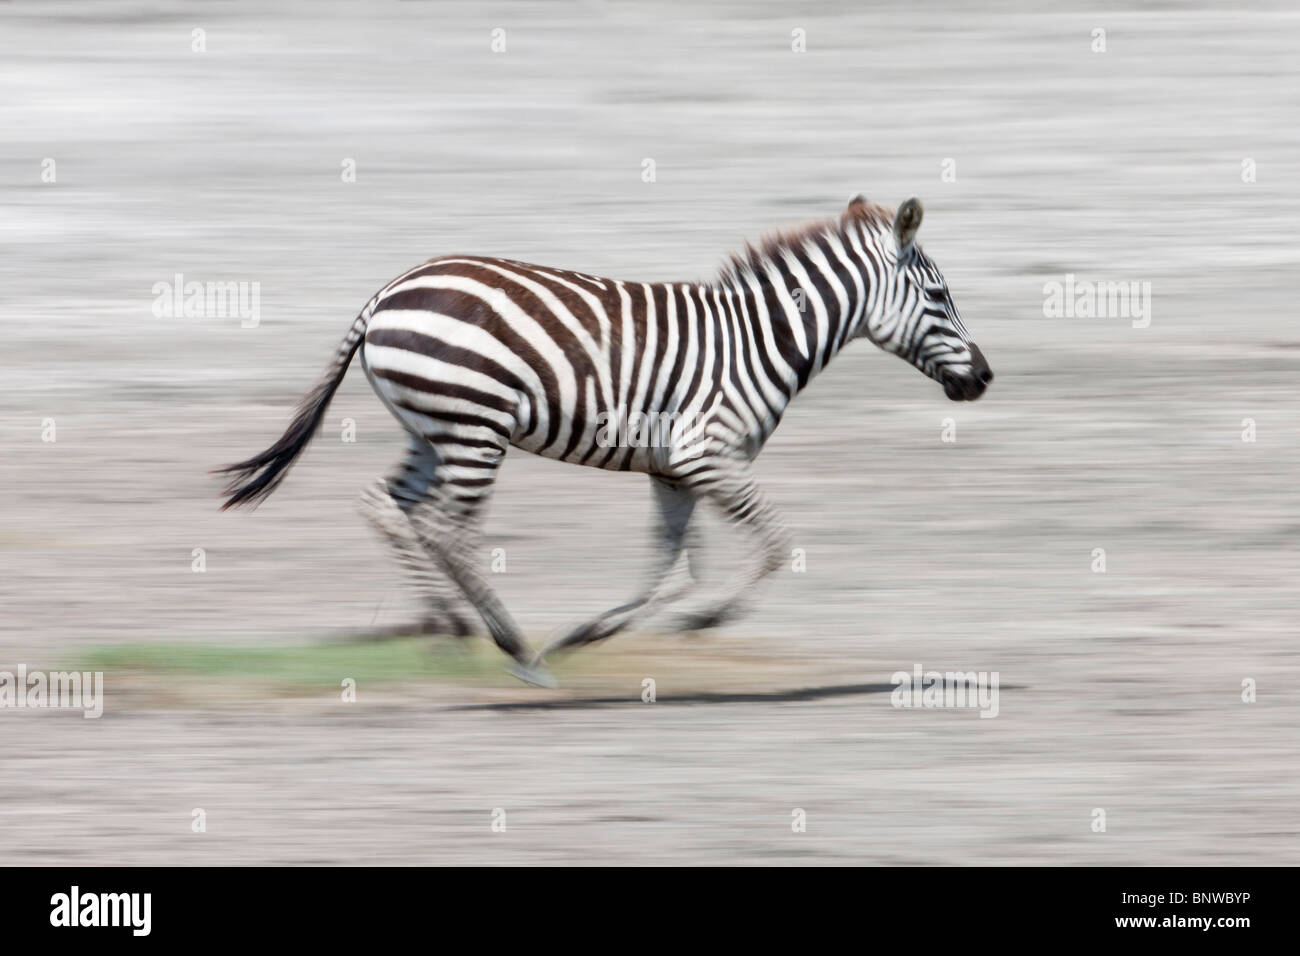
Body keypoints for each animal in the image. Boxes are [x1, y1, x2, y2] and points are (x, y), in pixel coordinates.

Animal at [219, 196, 993, 687]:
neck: (761, 341)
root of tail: (386, 293)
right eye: (938, 296)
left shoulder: (675, 472)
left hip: (432, 428)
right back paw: (511, 647)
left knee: (386, 505)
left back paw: (450, 630)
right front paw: (706, 621)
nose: (984, 379)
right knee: (447, 531)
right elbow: (774, 544)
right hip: (474, 428)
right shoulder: (706, 456)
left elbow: (671, 569)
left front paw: (589, 635)